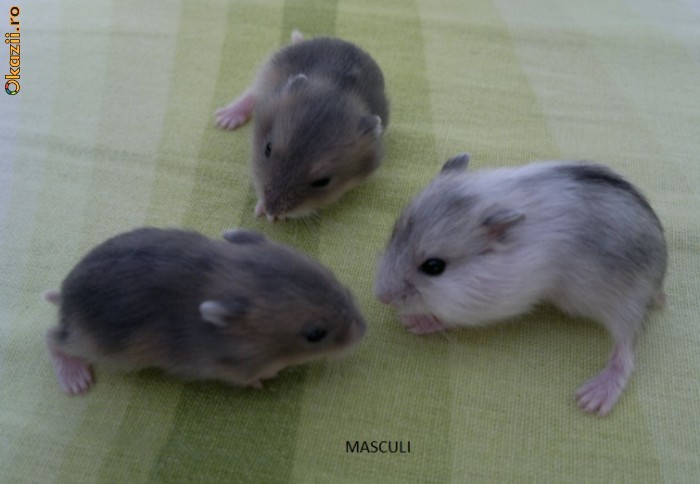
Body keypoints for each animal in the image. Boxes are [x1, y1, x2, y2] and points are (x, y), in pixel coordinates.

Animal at [44, 227, 367, 394]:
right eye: (315, 334)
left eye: (330, 275)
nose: (364, 330)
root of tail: (65, 297)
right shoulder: (233, 369)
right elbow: (251, 377)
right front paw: (266, 378)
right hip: (100, 347)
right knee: (52, 338)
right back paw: (75, 380)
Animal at [215, 30, 389, 222]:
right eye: (267, 148)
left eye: (323, 182)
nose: (270, 211)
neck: (337, 89)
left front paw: (272, 217)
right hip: (269, 72)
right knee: (252, 93)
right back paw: (226, 119)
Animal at [374, 153, 667, 416]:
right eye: (394, 233)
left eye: (434, 267)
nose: (381, 297)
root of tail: (660, 274)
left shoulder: (500, 298)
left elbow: (451, 316)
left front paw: (415, 322)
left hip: (625, 302)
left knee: (625, 352)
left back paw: (594, 398)